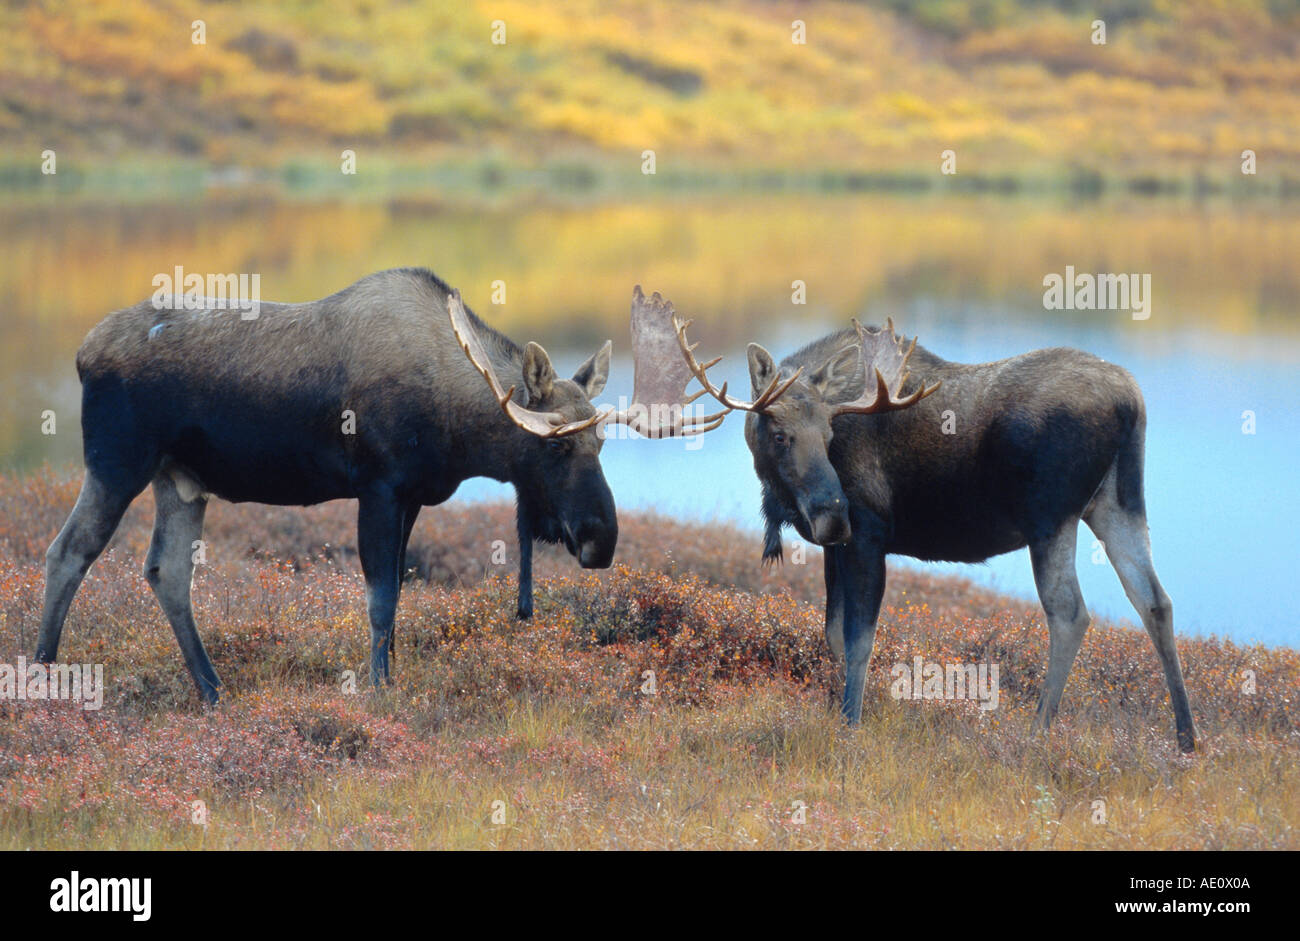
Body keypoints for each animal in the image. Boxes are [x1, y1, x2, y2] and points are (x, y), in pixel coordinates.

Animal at [36, 268, 718, 702]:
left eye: (601, 444)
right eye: (554, 444)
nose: (601, 539)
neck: (460, 425)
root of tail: (80, 353)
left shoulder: (413, 495)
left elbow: (397, 595)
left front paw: (390, 678)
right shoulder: (380, 487)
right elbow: (380, 598)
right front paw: (379, 689)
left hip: (181, 480)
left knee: (166, 571)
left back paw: (211, 688)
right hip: (117, 463)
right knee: (67, 552)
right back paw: (43, 674)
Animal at [664, 295, 1196, 752]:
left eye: (830, 433)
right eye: (779, 434)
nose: (833, 512)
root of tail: (1132, 402)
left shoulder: (868, 536)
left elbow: (859, 640)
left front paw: (851, 721)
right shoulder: (837, 548)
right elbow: (832, 633)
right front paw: (841, 707)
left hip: (1050, 517)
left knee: (1070, 612)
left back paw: (1038, 730)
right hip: (1116, 503)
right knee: (1155, 601)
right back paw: (1187, 737)